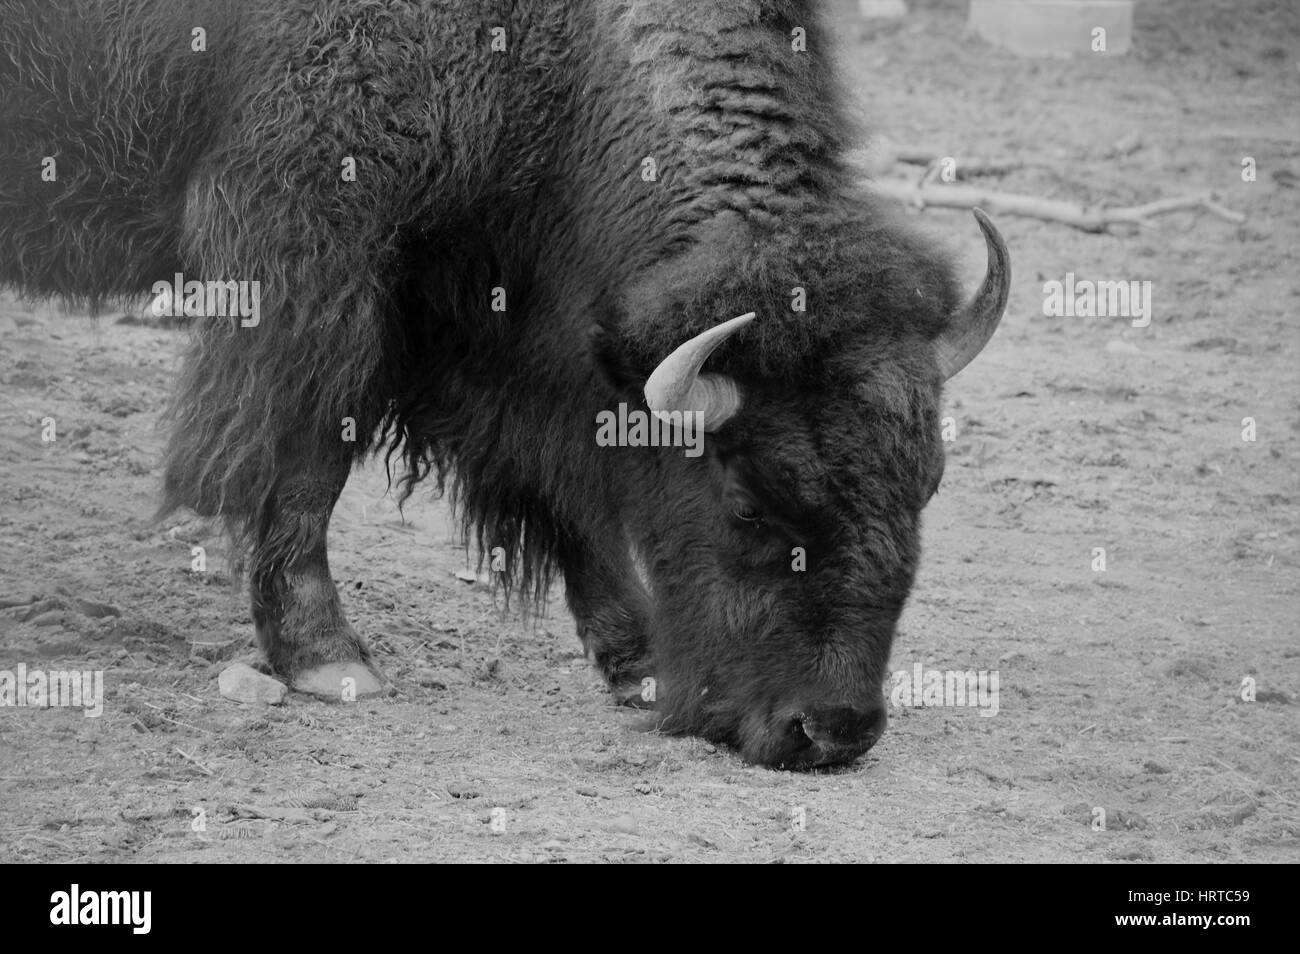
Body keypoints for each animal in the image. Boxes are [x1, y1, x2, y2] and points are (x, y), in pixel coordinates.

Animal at [0, 0, 1009, 768]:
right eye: (750, 498)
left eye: (926, 487)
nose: (831, 732)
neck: (563, 47)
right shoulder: (326, 258)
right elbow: (311, 457)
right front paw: (332, 663)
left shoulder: (475, 295)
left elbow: (559, 475)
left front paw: (636, 660)